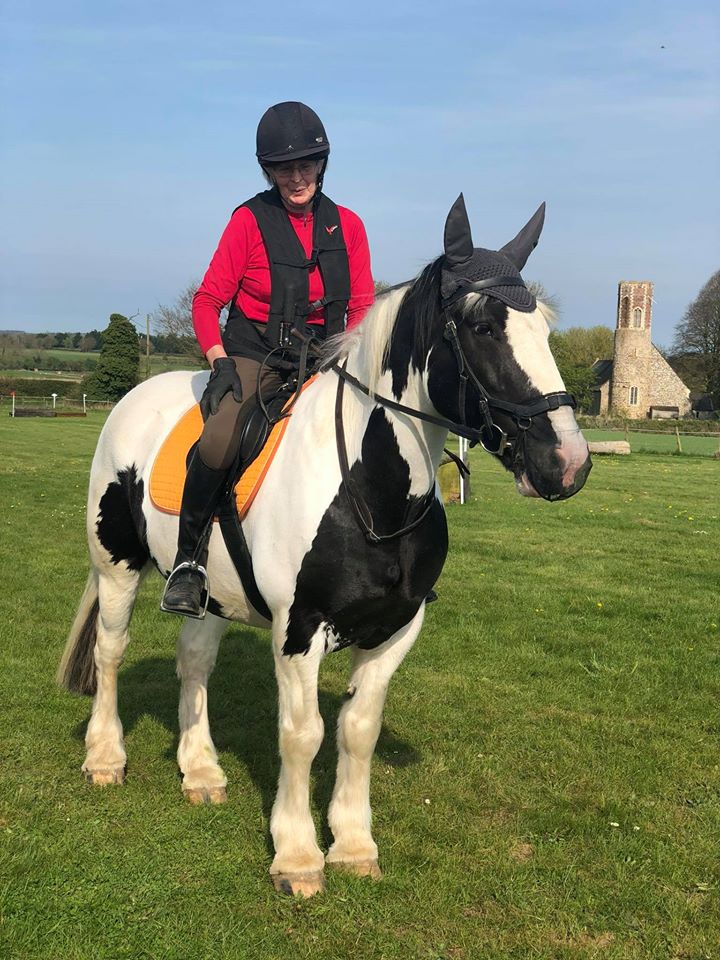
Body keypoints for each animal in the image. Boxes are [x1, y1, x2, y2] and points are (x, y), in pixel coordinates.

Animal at [58, 194, 591, 897]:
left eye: (546, 331)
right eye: (480, 327)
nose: (568, 463)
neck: (370, 489)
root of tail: (133, 399)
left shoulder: (397, 629)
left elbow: (357, 731)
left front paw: (355, 843)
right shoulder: (299, 630)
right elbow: (302, 734)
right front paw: (297, 854)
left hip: (208, 590)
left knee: (194, 661)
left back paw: (200, 769)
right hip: (116, 568)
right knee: (111, 652)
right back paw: (104, 756)